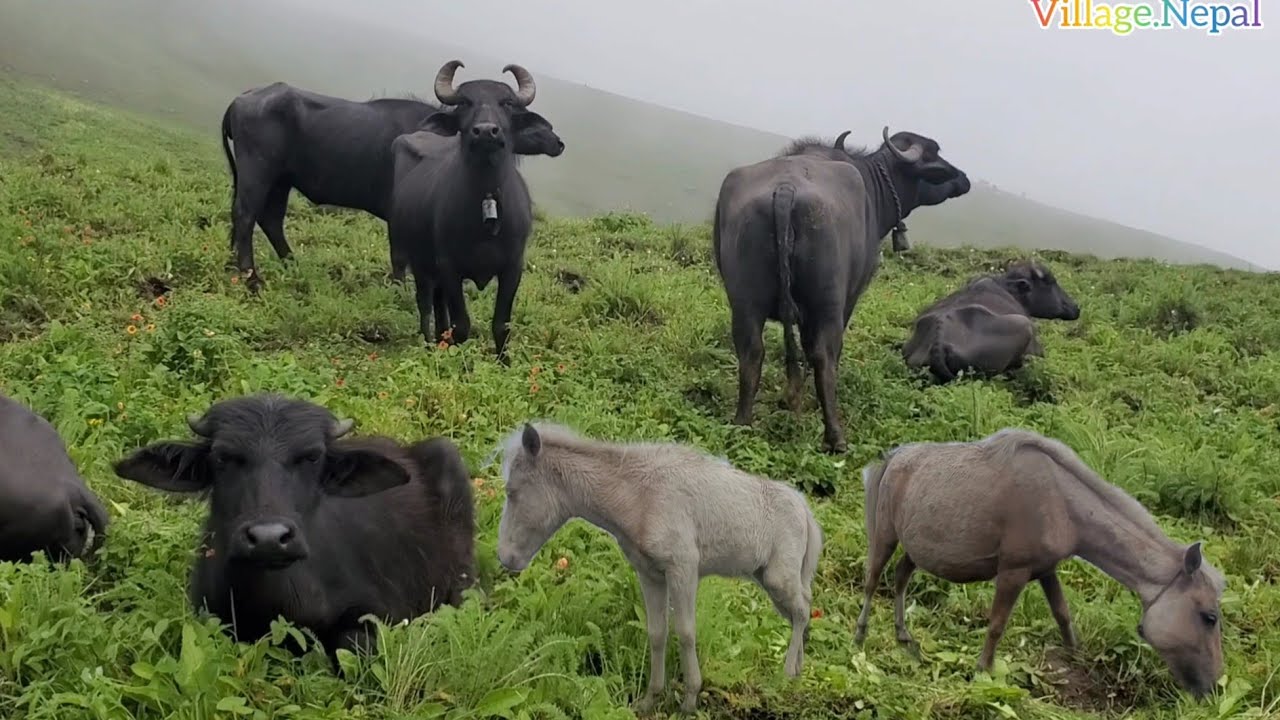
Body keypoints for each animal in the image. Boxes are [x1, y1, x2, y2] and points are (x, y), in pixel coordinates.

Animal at [220, 81, 565, 291]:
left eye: (509, 106)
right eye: (516, 111)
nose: (558, 141)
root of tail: (241, 99)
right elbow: (400, 256)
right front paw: (400, 288)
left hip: (281, 180)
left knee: (270, 220)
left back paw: (291, 264)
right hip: (257, 173)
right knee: (245, 216)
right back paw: (251, 277)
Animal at [388, 60, 552, 363]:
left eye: (507, 103)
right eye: (465, 102)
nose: (486, 131)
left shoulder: (513, 267)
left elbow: (502, 324)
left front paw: (503, 363)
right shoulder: (449, 266)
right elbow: (461, 324)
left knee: (438, 304)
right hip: (415, 257)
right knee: (425, 302)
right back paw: (428, 342)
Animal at [492, 422, 823, 715]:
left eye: (511, 490)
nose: (506, 557)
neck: (641, 498)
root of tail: (805, 510)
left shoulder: (683, 570)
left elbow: (686, 632)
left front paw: (689, 700)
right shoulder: (650, 575)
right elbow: (657, 633)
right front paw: (650, 699)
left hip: (778, 579)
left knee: (802, 611)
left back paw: (787, 674)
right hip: (768, 581)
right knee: (801, 612)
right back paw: (798, 671)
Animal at [713, 127, 971, 453]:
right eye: (933, 153)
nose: (963, 178)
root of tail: (785, 190)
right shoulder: (849, 298)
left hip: (745, 303)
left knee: (751, 352)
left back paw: (742, 423)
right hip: (827, 305)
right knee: (824, 356)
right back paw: (835, 437)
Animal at [855, 428, 1226, 699]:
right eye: (1209, 617)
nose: (1213, 688)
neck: (1062, 504)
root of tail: (893, 458)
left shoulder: (1046, 570)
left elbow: (1062, 615)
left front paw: (1077, 660)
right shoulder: (1013, 572)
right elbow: (997, 625)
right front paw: (981, 673)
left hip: (914, 550)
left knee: (900, 578)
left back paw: (904, 637)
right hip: (885, 537)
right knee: (872, 580)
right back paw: (859, 638)